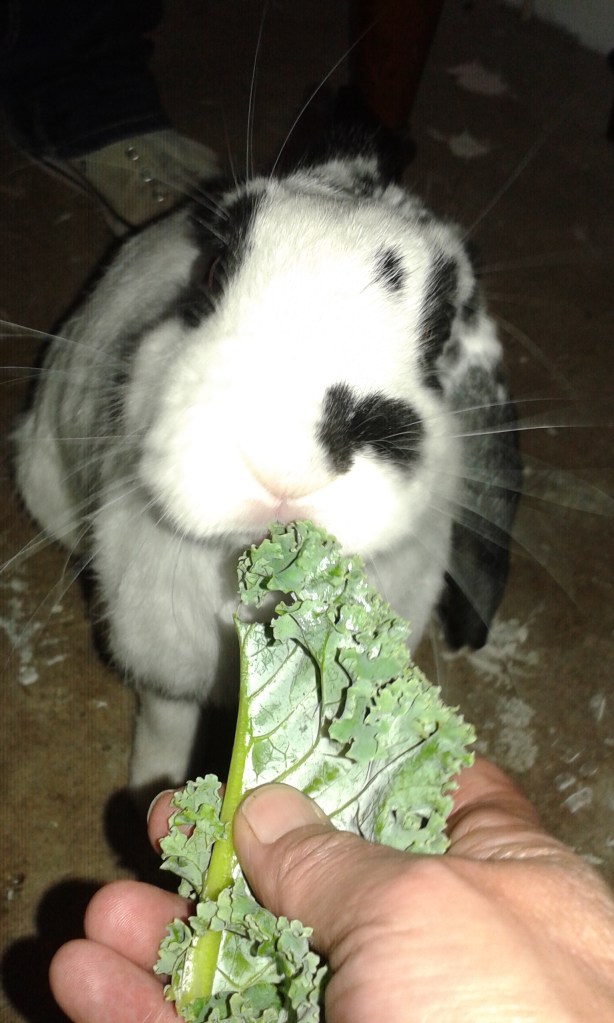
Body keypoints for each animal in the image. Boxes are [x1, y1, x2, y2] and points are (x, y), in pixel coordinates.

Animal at [12, 100, 521, 796]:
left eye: (442, 329)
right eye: (211, 271)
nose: (287, 464)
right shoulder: (165, 673)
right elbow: (166, 725)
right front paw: (157, 787)